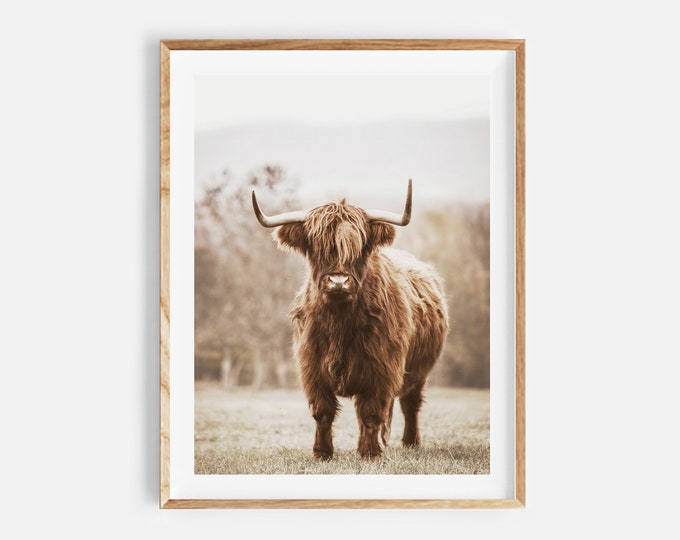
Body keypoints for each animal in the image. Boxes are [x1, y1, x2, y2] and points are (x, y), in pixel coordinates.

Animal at [252, 180, 448, 460]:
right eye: (317, 246)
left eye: (359, 246)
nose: (338, 281)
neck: (339, 322)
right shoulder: (312, 368)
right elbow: (323, 412)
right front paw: (322, 453)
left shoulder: (382, 368)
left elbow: (372, 412)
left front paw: (370, 453)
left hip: (419, 369)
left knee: (410, 403)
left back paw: (411, 442)